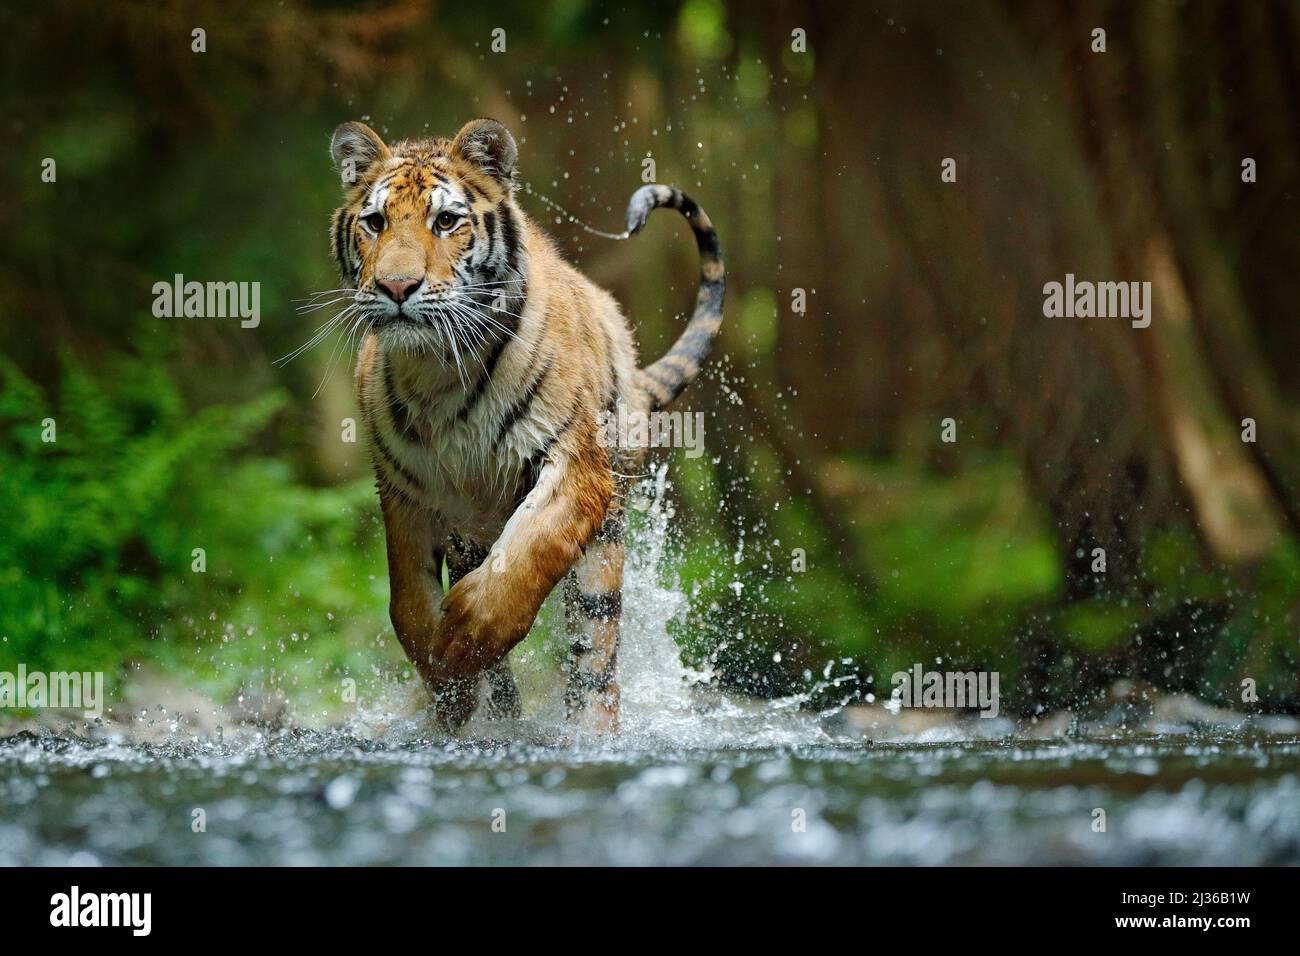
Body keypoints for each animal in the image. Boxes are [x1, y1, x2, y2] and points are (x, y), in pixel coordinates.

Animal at [325, 118, 725, 731]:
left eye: (446, 221)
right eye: (375, 222)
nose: (395, 288)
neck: (437, 372)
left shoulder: (576, 466)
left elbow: (525, 558)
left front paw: (462, 636)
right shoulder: (403, 488)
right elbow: (408, 603)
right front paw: (447, 681)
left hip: (605, 546)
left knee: (595, 660)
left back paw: (588, 730)